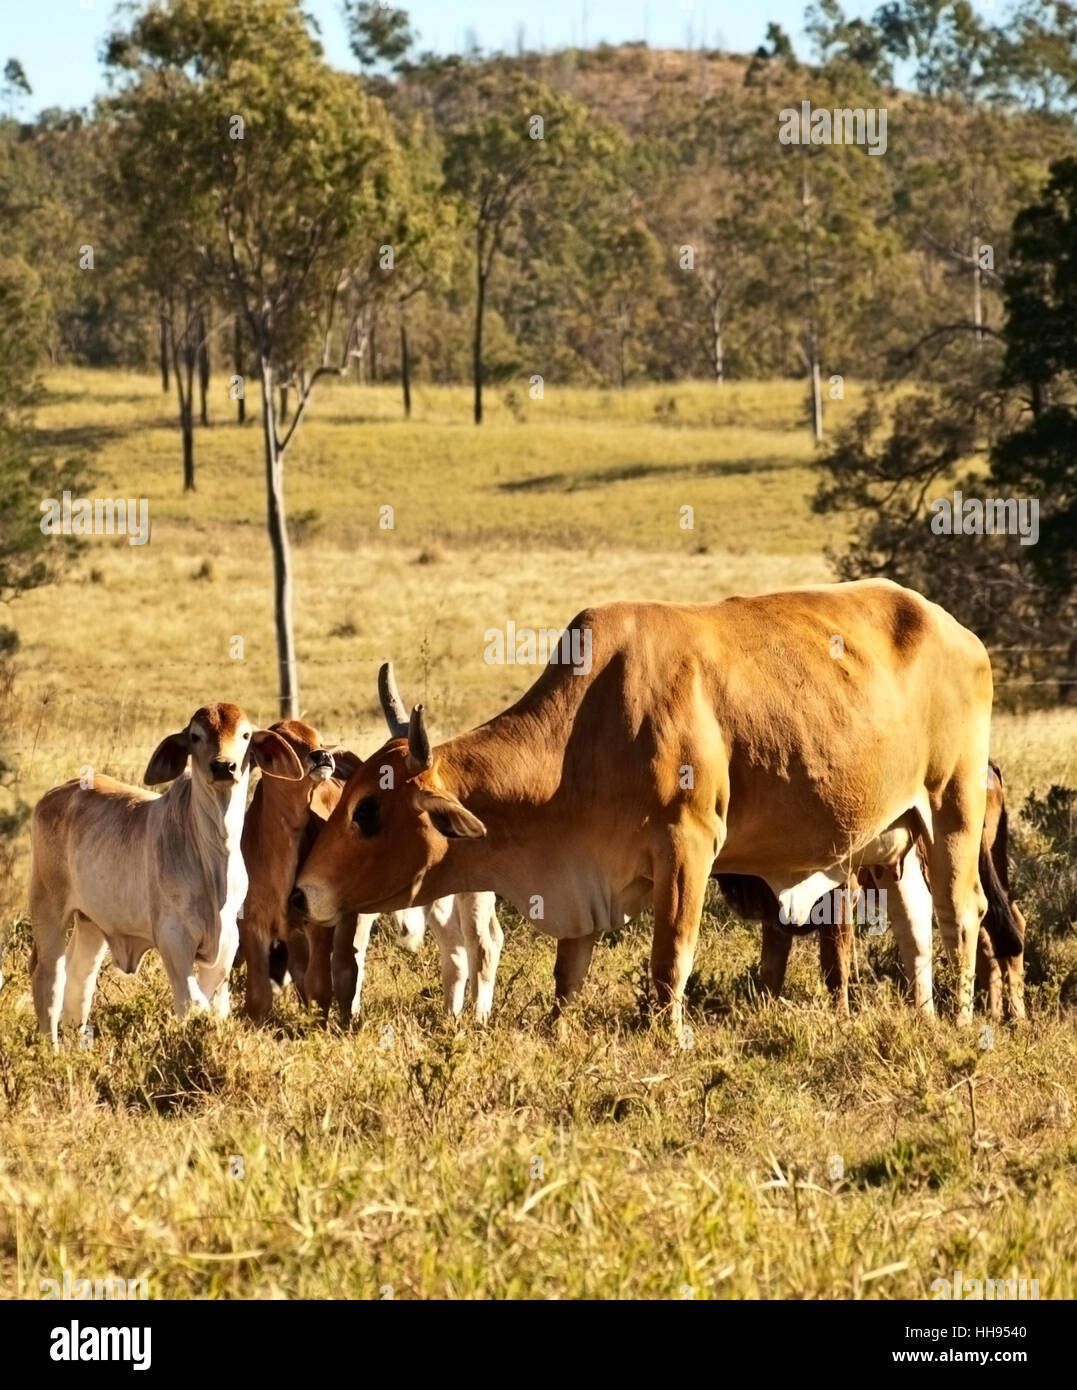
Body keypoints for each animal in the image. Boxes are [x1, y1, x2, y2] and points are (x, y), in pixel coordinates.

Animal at [29, 704, 303, 1044]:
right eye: (195, 736)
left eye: (246, 735)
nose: (223, 766)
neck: (215, 859)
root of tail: (55, 793)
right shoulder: (174, 938)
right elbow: (193, 1003)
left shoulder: (227, 941)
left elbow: (214, 1004)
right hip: (48, 907)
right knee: (49, 977)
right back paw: (50, 1048)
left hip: (91, 921)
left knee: (80, 978)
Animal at [293, 580, 995, 1030]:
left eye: (367, 813)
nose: (301, 894)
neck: (584, 733)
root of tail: (956, 629)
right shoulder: (582, 876)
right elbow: (567, 973)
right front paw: (559, 1031)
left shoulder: (688, 847)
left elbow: (670, 956)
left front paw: (672, 1038)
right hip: (893, 838)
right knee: (916, 926)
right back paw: (924, 1016)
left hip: (952, 810)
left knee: (962, 914)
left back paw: (962, 1022)